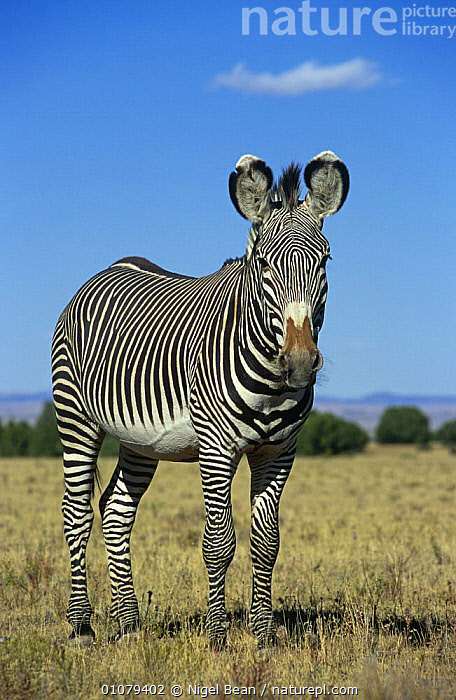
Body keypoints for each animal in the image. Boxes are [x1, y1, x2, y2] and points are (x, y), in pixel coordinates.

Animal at [52, 151, 349, 648]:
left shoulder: (278, 451)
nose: (300, 363)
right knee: (76, 514)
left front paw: (263, 636)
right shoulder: (216, 448)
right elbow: (218, 541)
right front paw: (217, 636)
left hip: (138, 440)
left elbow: (266, 543)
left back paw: (129, 625)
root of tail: (112, 267)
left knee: (115, 512)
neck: (271, 382)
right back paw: (82, 626)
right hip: (75, 417)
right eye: (262, 265)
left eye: (325, 262)